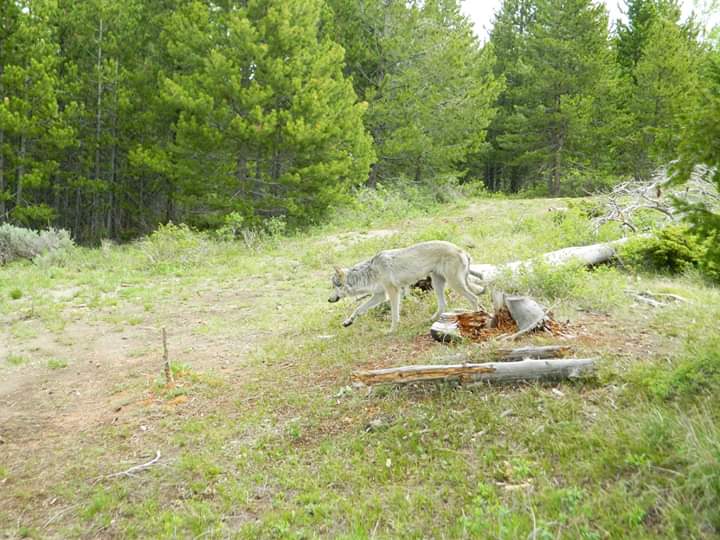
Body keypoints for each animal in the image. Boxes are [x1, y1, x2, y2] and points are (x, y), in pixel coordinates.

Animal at [328, 240, 485, 332]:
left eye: (334, 286)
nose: (329, 300)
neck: (370, 273)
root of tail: (462, 250)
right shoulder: (379, 295)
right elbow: (358, 309)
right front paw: (348, 322)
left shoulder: (393, 292)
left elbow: (394, 314)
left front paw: (392, 330)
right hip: (438, 283)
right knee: (443, 304)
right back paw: (429, 320)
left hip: (454, 284)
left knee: (474, 298)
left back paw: (475, 320)